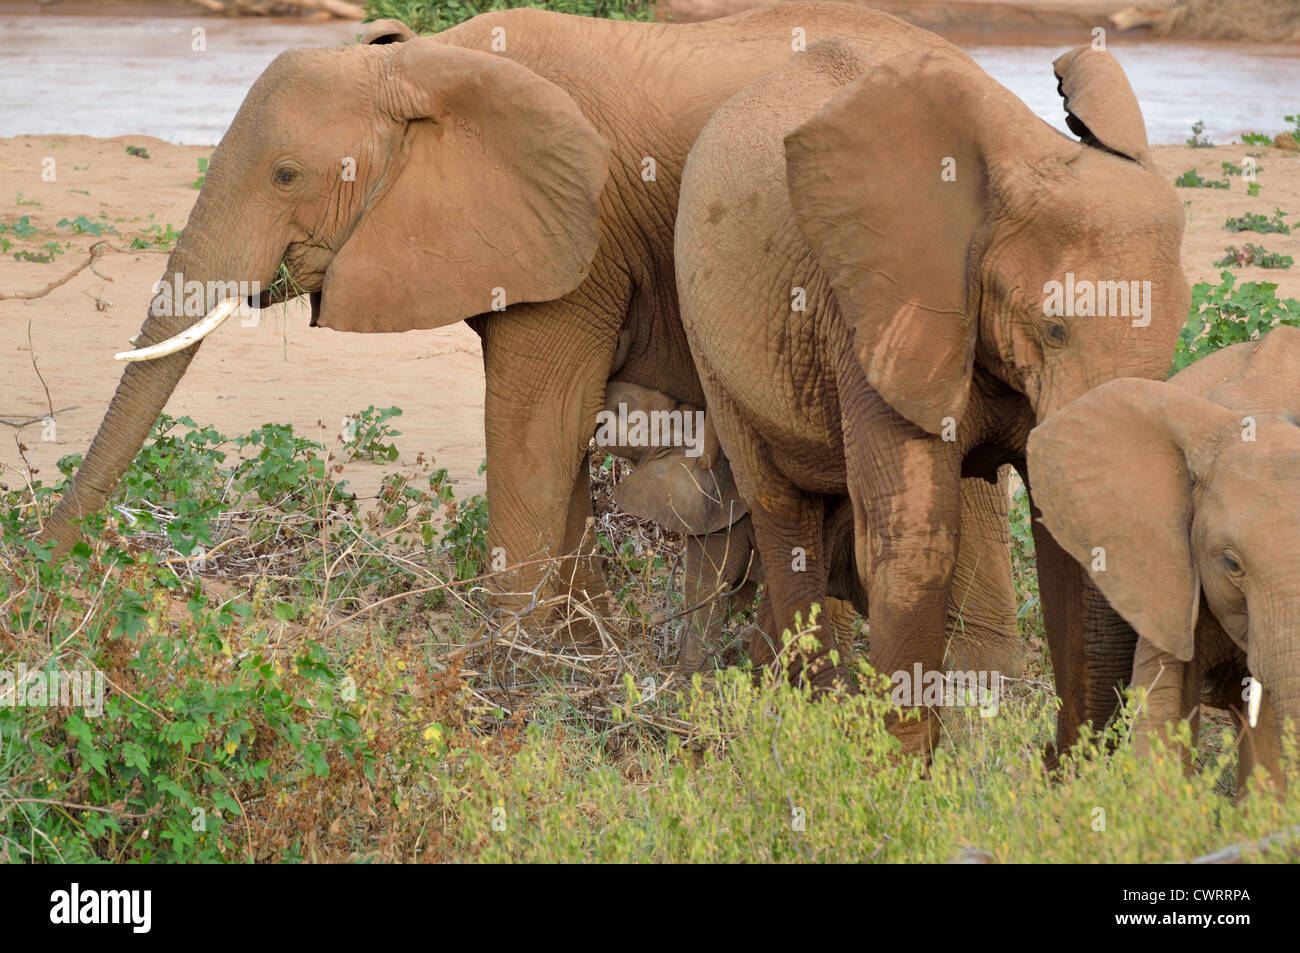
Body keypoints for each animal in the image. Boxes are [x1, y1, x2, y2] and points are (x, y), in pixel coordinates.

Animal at [40, 4, 1026, 648]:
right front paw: (573, 654)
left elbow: (534, 432)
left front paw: (505, 673)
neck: (425, 64)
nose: (45, 587)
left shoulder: (580, 233)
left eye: (286, 175)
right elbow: (558, 443)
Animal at [674, 38, 1189, 751]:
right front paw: (895, 770)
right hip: (709, 338)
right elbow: (916, 539)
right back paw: (810, 712)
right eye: (1054, 328)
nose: (1055, 759)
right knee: (781, 507)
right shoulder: (871, 314)